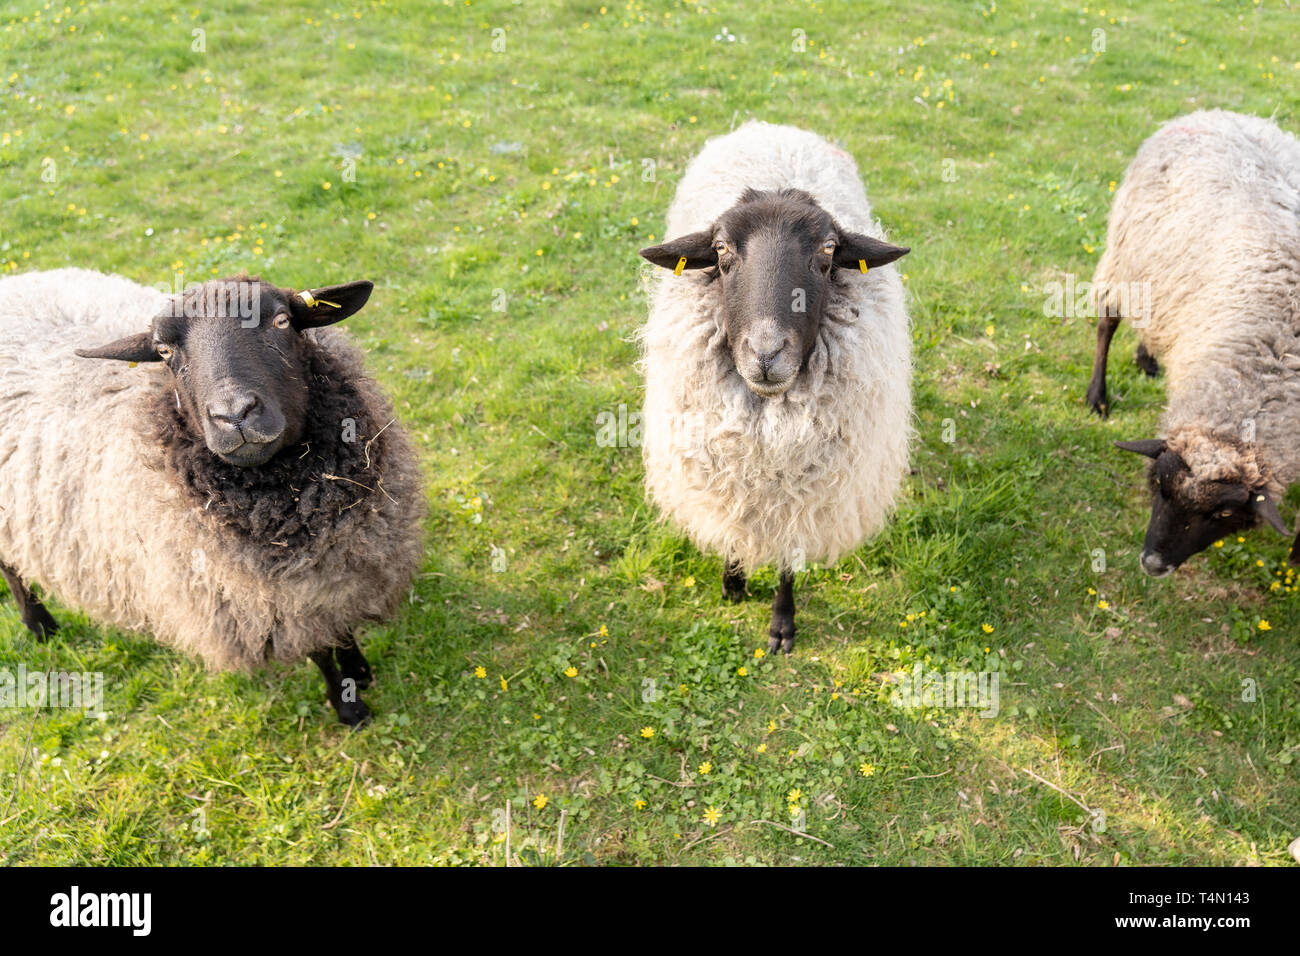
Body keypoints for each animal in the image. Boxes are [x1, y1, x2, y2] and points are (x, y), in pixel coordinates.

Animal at [0, 269, 426, 725]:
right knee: (11, 568)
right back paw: (38, 624)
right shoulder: (275, 602)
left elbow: (339, 626)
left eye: (282, 321)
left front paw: (359, 670)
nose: (234, 415)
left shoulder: (338, 571)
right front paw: (348, 705)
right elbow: (320, 649)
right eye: (164, 351)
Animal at [638, 121, 912, 652]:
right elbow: (731, 525)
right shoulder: (723, 475)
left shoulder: (805, 492)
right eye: (721, 249)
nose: (766, 354)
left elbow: (788, 560)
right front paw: (733, 580)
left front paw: (782, 624)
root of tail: (771, 127)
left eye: (828, 250)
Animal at [1086, 109, 1300, 574]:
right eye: (1159, 487)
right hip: (1126, 258)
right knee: (1107, 324)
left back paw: (1148, 358)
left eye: (1222, 513)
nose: (1152, 563)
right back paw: (1097, 397)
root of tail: (1214, 113)